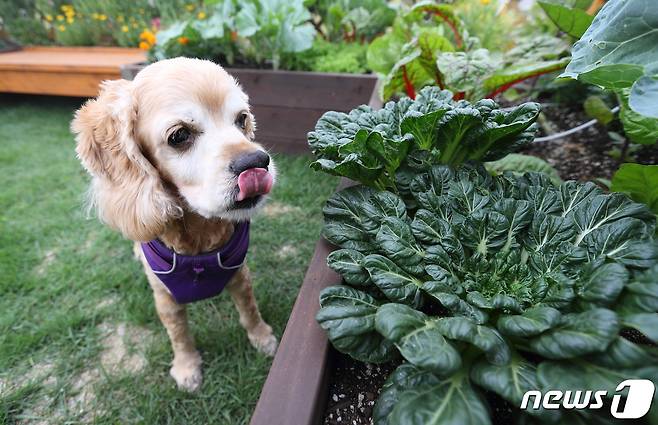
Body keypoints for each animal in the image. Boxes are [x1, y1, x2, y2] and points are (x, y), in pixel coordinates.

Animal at [72, 57, 276, 390]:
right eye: (179, 136)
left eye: (241, 119)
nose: (257, 162)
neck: (199, 243)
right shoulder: (165, 298)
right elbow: (179, 334)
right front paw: (186, 367)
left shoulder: (240, 274)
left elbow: (249, 308)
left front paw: (262, 337)